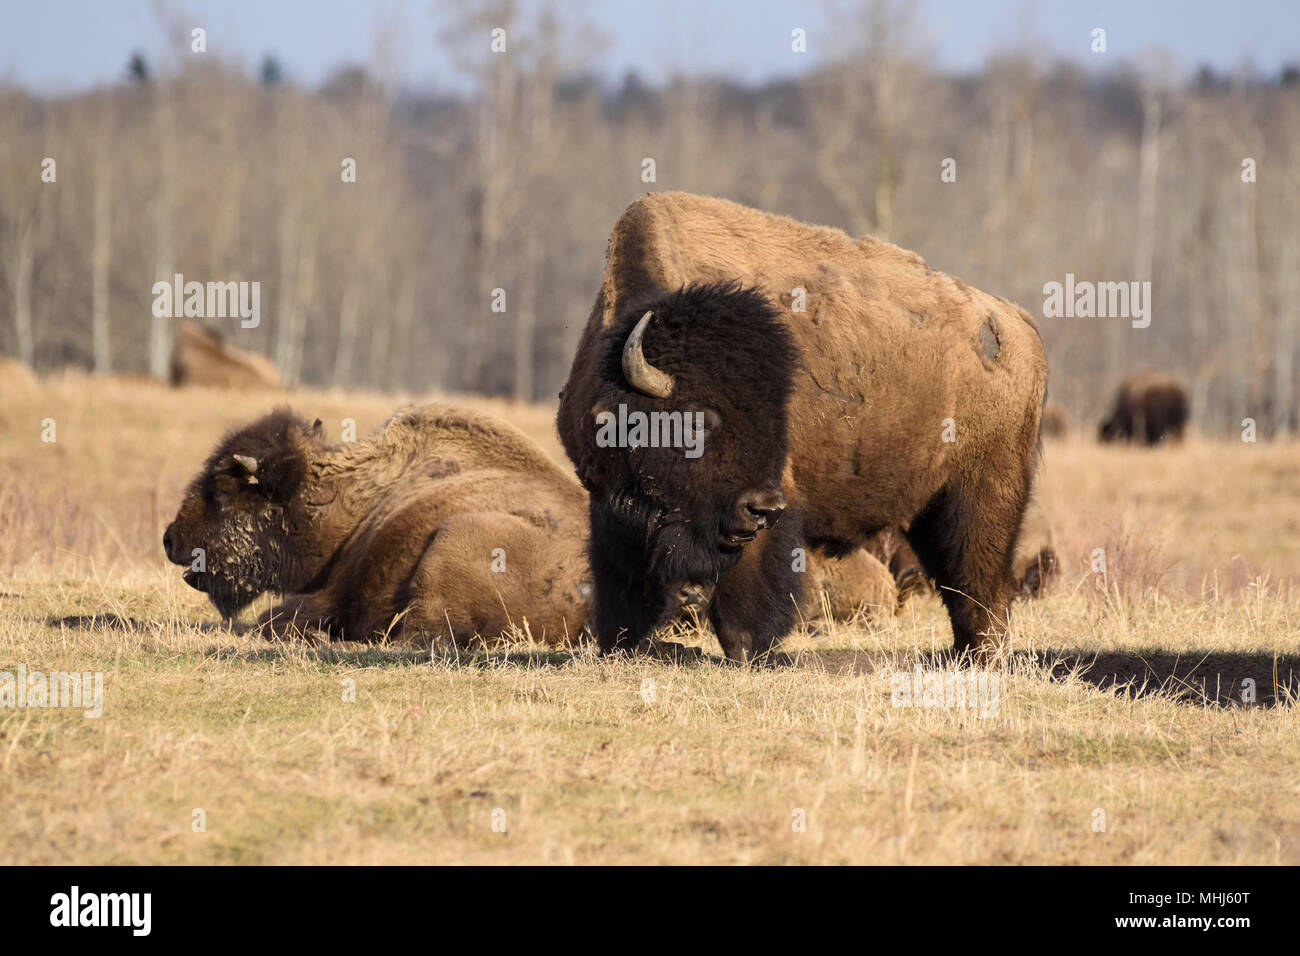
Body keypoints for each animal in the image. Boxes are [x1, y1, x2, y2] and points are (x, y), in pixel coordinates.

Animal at [557, 192, 1048, 662]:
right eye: (697, 423)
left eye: (779, 419)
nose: (761, 508)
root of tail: (1019, 326)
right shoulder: (607, 503)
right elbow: (620, 586)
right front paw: (624, 645)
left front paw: (748, 650)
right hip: (931, 505)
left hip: (983, 492)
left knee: (978, 575)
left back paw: (982, 654)